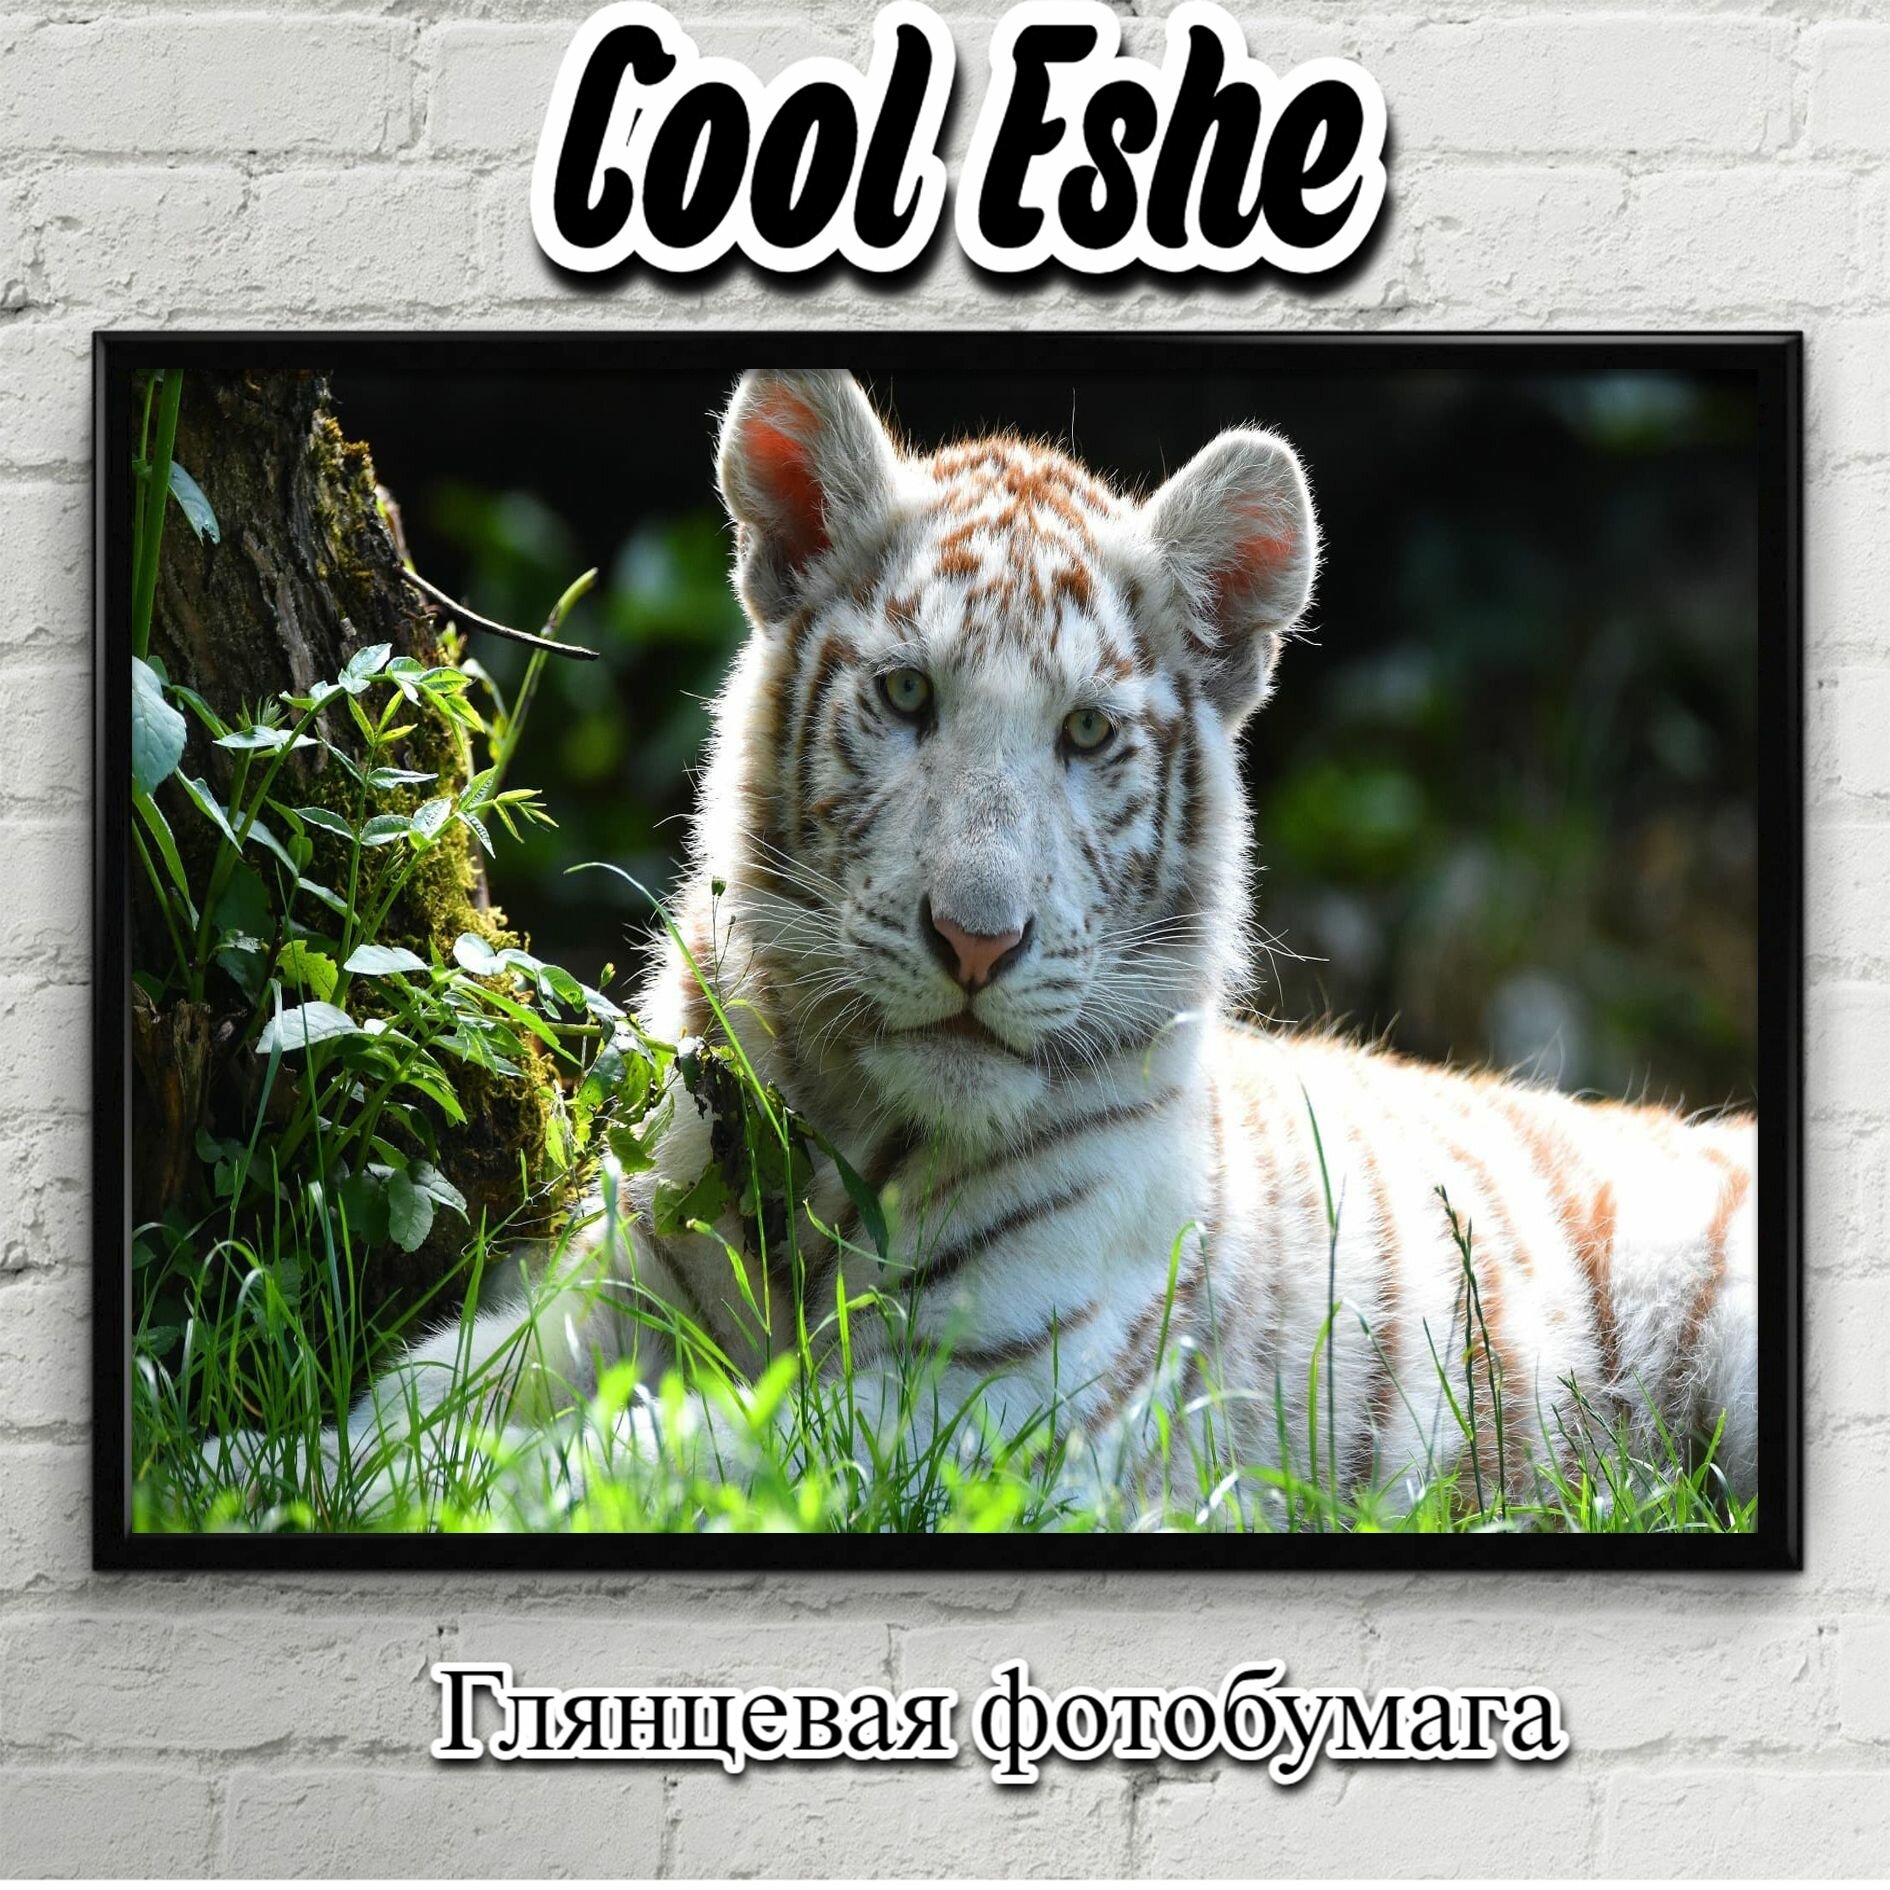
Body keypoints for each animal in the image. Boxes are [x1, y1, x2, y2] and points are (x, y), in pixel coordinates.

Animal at [316, 367, 1761, 1525]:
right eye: (907, 695)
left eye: (1085, 732)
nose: (976, 939)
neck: (848, 1148)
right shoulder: (597, 1305)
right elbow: (424, 1395)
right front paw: (297, 1456)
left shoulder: (976, 1417)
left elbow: (667, 1447)